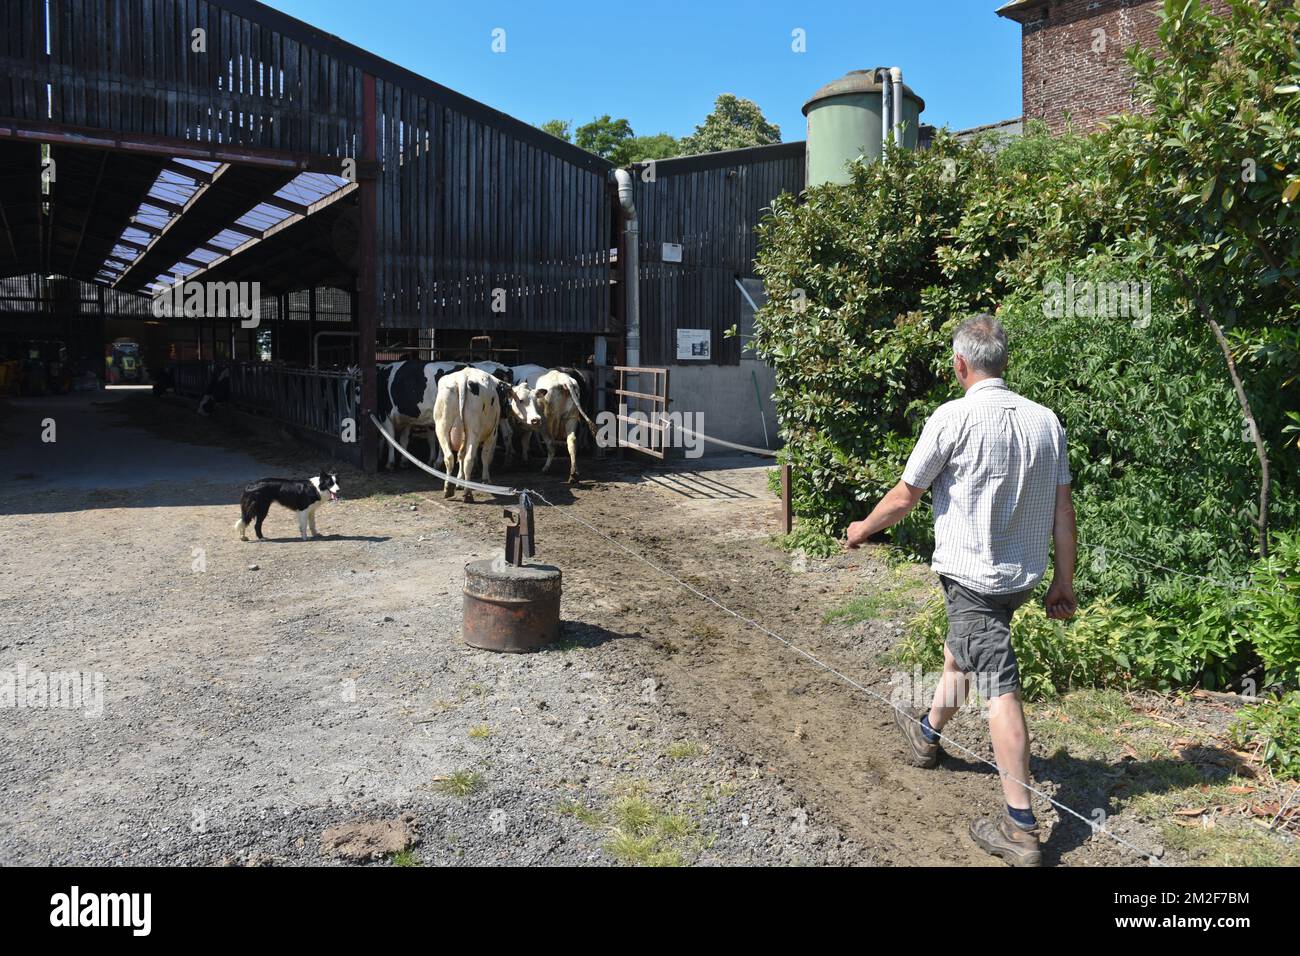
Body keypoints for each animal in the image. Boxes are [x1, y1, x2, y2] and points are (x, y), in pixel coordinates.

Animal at [433, 366, 502, 501]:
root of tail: (463, 377)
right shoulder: (492, 433)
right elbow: (485, 456)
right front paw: (486, 479)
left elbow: (460, 455)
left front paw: (459, 481)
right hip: (473, 431)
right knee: (469, 459)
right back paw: (468, 493)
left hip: (442, 428)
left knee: (449, 457)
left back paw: (448, 489)